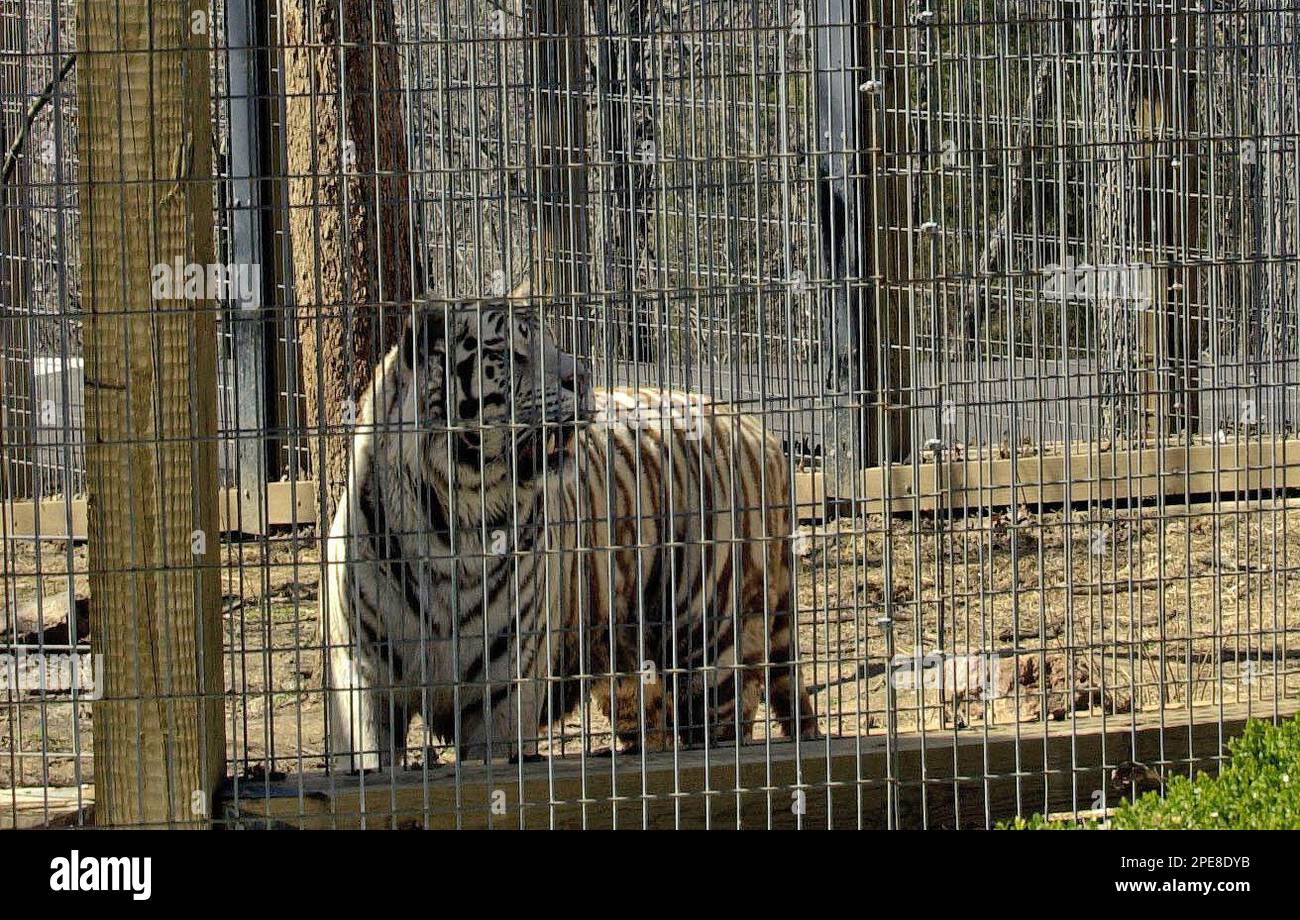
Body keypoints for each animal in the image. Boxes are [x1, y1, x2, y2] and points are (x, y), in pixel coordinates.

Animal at [321, 290, 818, 771]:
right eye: (509, 352)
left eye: (551, 342)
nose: (580, 377)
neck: (450, 527)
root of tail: (759, 430)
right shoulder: (364, 685)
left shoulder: (502, 691)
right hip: (628, 668)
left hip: (709, 644)